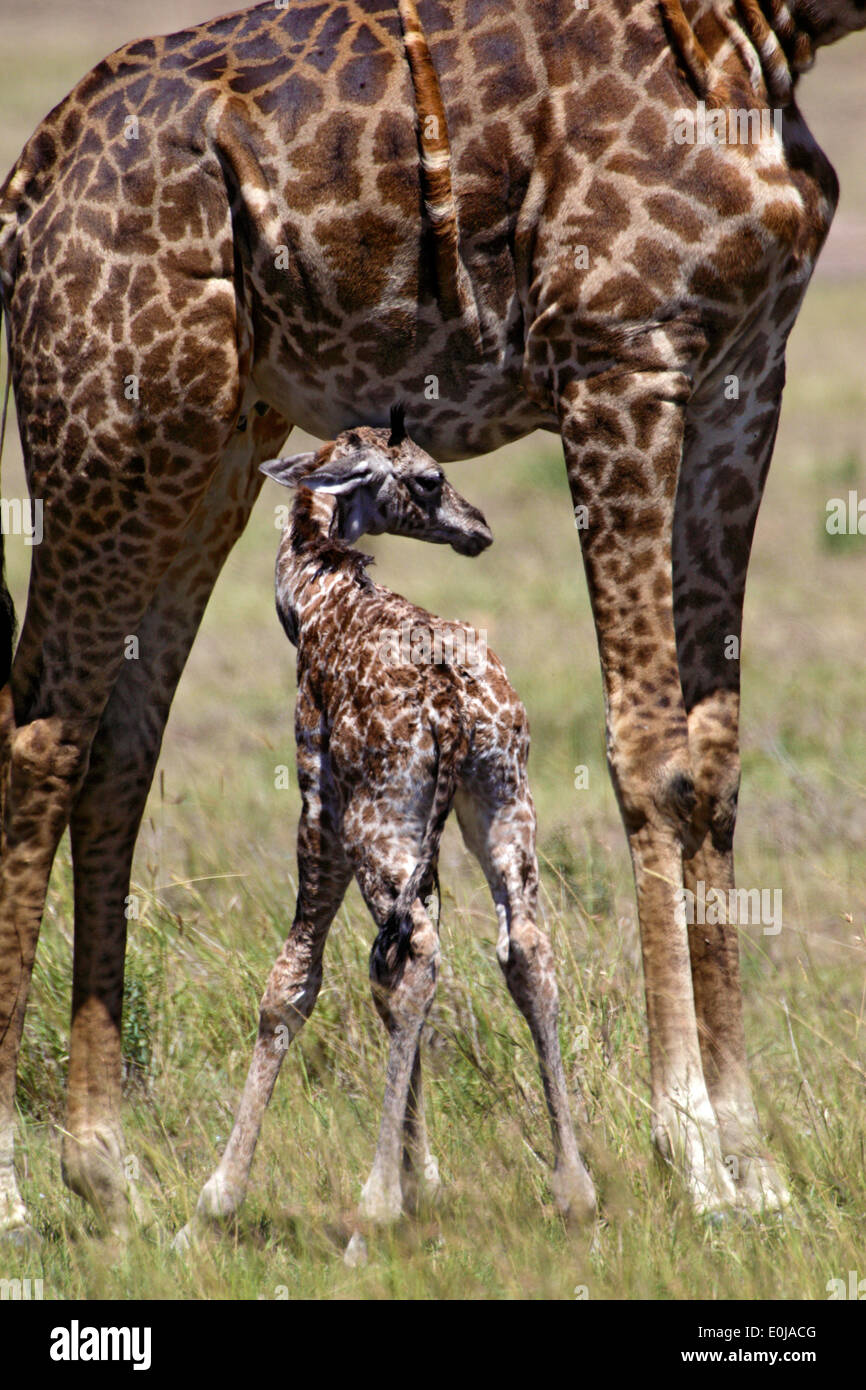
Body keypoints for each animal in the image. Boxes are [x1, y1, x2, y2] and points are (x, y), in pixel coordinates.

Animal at [174, 412, 596, 1257]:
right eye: (430, 478)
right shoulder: (424, 843)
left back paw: (370, 1212)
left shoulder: (320, 807)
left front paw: (213, 1202)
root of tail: (450, 700)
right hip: (503, 802)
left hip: (379, 820)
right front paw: (424, 1179)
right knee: (521, 950)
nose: (478, 527)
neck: (319, 597)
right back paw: (572, 1189)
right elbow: (385, 975)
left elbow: (291, 984)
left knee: (417, 963)